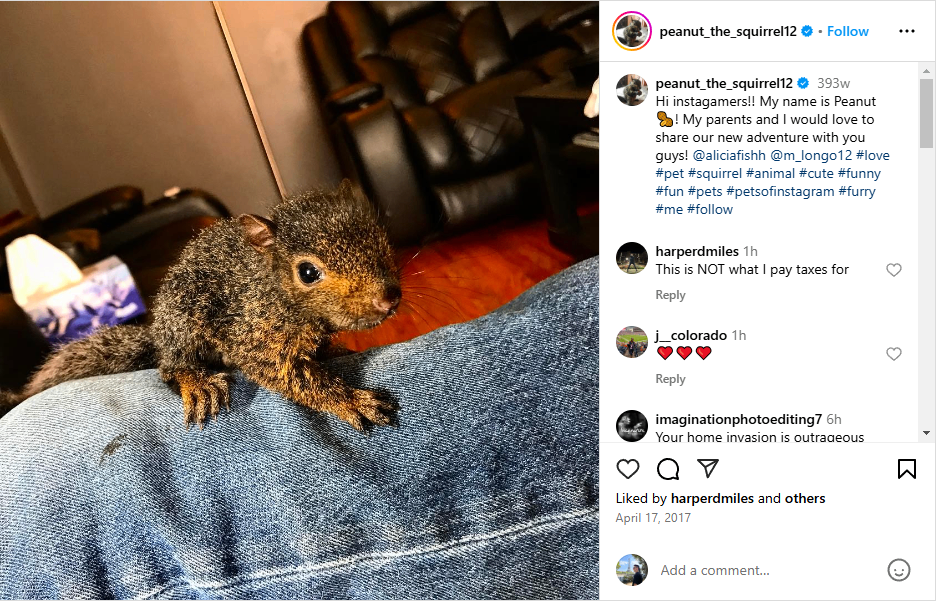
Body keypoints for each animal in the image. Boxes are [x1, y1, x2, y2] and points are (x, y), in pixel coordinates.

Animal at [0, 180, 401, 431]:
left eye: (383, 239)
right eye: (307, 272)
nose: (389, 297)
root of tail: (158, 335)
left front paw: (335, 351)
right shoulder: (253, 334)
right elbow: (286, 373)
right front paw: (350, 400)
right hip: (183, 323)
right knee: (171, 367)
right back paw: (195, 380)